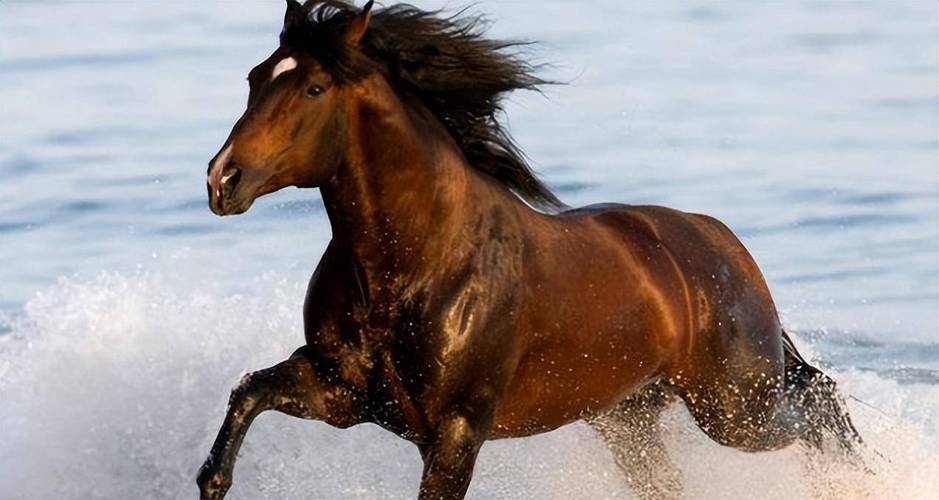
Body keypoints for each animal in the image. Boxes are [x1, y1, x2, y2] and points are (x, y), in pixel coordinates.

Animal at [197, 1, 862, 498]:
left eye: (313, 88)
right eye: (255, 77)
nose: (222, 180)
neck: (416, 265)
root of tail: (722, 241)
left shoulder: (456, 430)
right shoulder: (340, 392)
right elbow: (247, 395)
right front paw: (214, 482)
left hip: (735, 405)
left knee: (820, 407)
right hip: (630, 417)